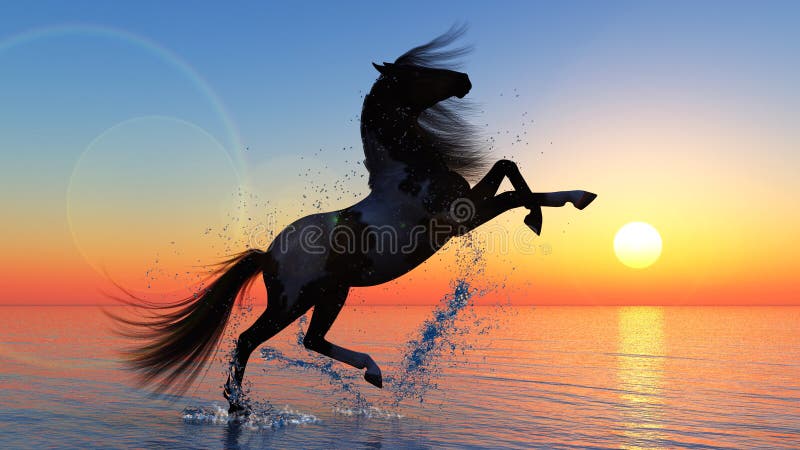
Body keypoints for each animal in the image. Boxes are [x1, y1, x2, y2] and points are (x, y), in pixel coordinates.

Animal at [112, 28, 596, 414]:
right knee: (248, 341)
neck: (407, 169)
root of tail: (268, 253)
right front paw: (551, 211)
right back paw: (238, 408)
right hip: (292, 300)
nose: (464, 80)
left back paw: (373, 373)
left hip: (333, 292)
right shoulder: (462, 217)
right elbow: (513, 186)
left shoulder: (467, 208)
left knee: (312, 340)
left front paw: (575, 198)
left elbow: (507, 169)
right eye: (415, 74)